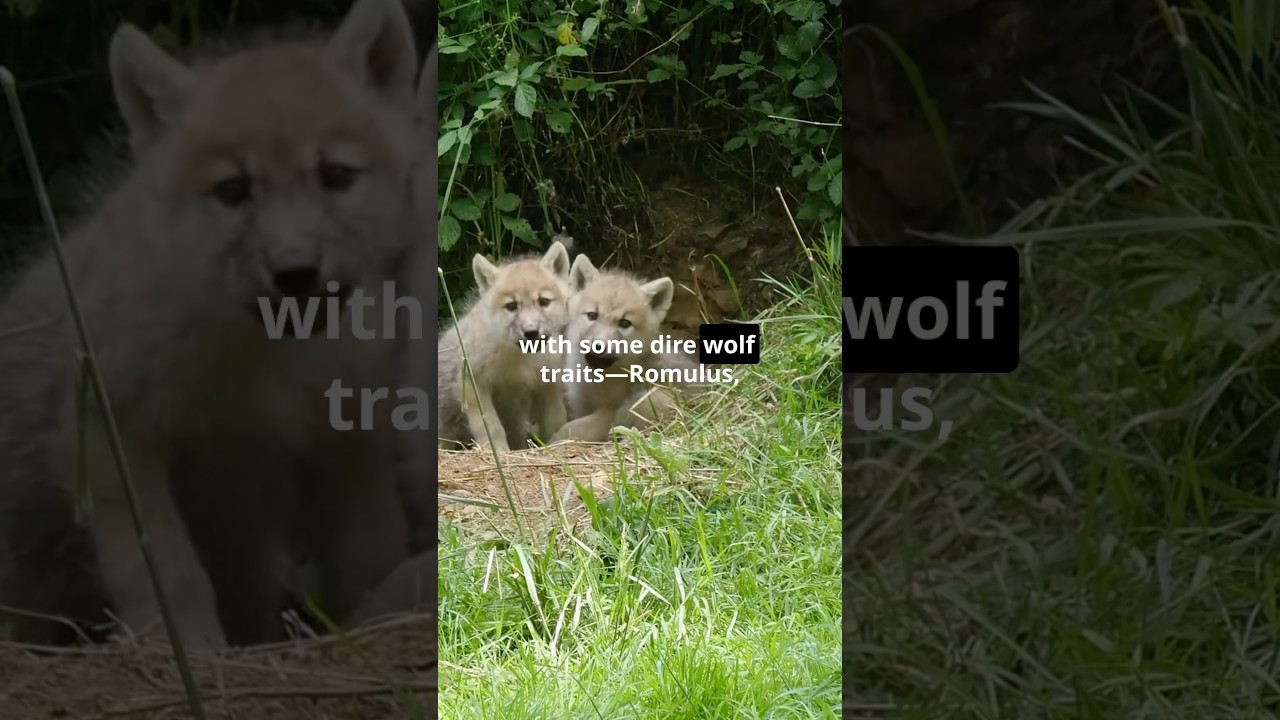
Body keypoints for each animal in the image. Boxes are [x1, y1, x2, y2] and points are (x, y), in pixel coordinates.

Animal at [0, 0, 427, 648]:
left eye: (336, 175)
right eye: (233, 190)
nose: (295, 272)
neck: (263, 361)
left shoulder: (345, 442)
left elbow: (369, 554)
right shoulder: (110, 435)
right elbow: (166, 574)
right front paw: (193, 652)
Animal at [437, 241, 572, 454]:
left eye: (544, 301)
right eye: (511, 306)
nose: (531, 332)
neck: (520, 360)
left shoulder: (547, 385)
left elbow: (555, 420)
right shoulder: (473, 384)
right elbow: (491, 427)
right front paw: (499, 452)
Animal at [550, 254, 707, 444]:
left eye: (625, 323)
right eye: (592, 315)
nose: (599, 345)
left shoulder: (608, 411)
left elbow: (575, 429)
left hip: (650, 399)